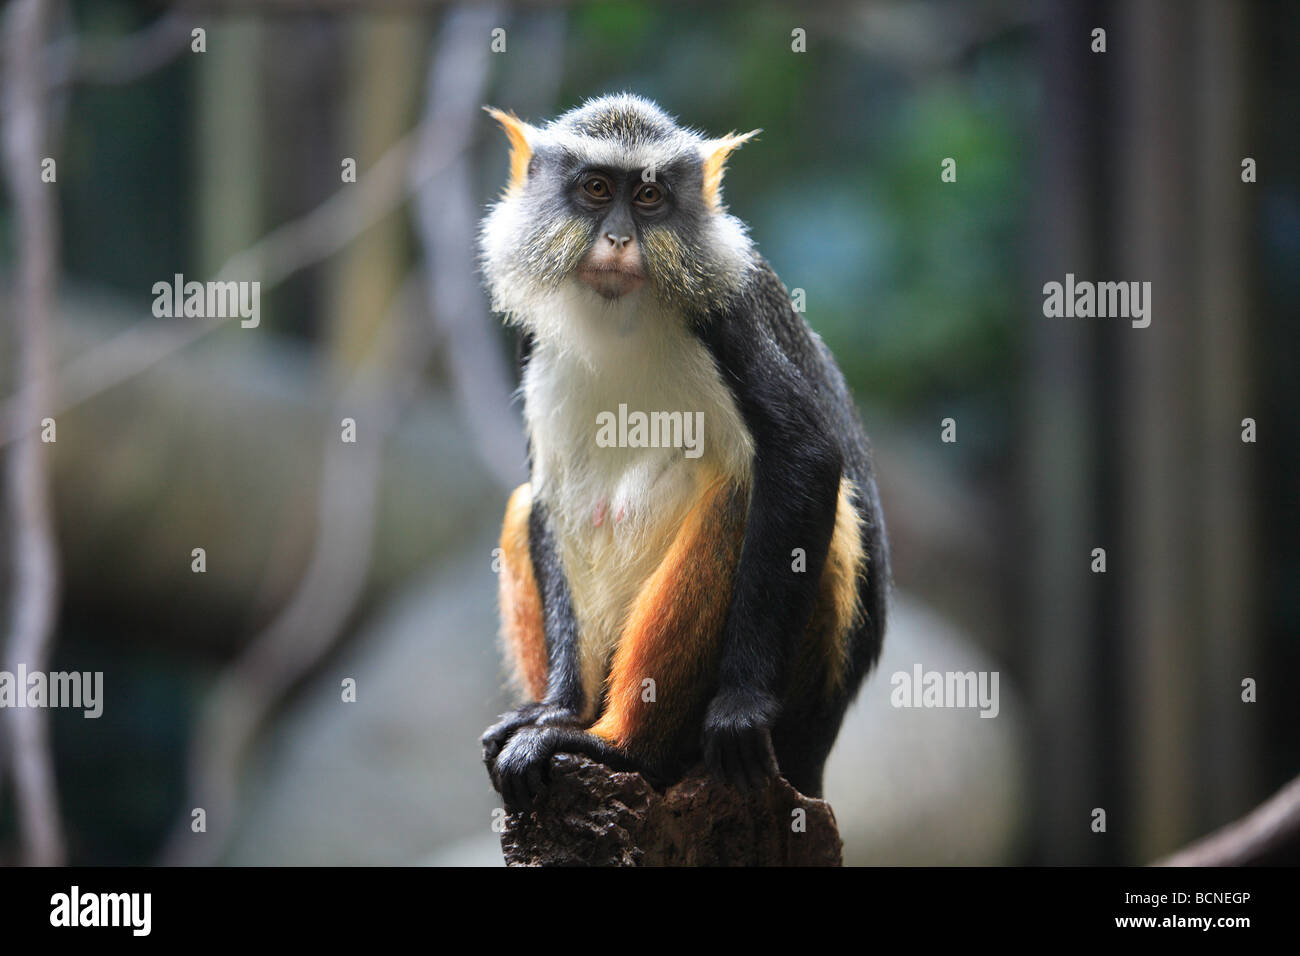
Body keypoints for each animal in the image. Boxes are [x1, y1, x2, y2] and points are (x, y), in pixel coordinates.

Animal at [478, 93, 889, 811]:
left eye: (649, 197)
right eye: (595, 189)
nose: (618, 239)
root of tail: (817, 755)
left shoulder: (727, 315)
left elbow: (806, 456)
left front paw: (739, 708)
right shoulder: (535, 345)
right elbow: (547, 496)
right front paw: (554, 710)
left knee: (743, 493)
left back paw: (622, 747)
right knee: (523, 504)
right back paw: (569, 725)